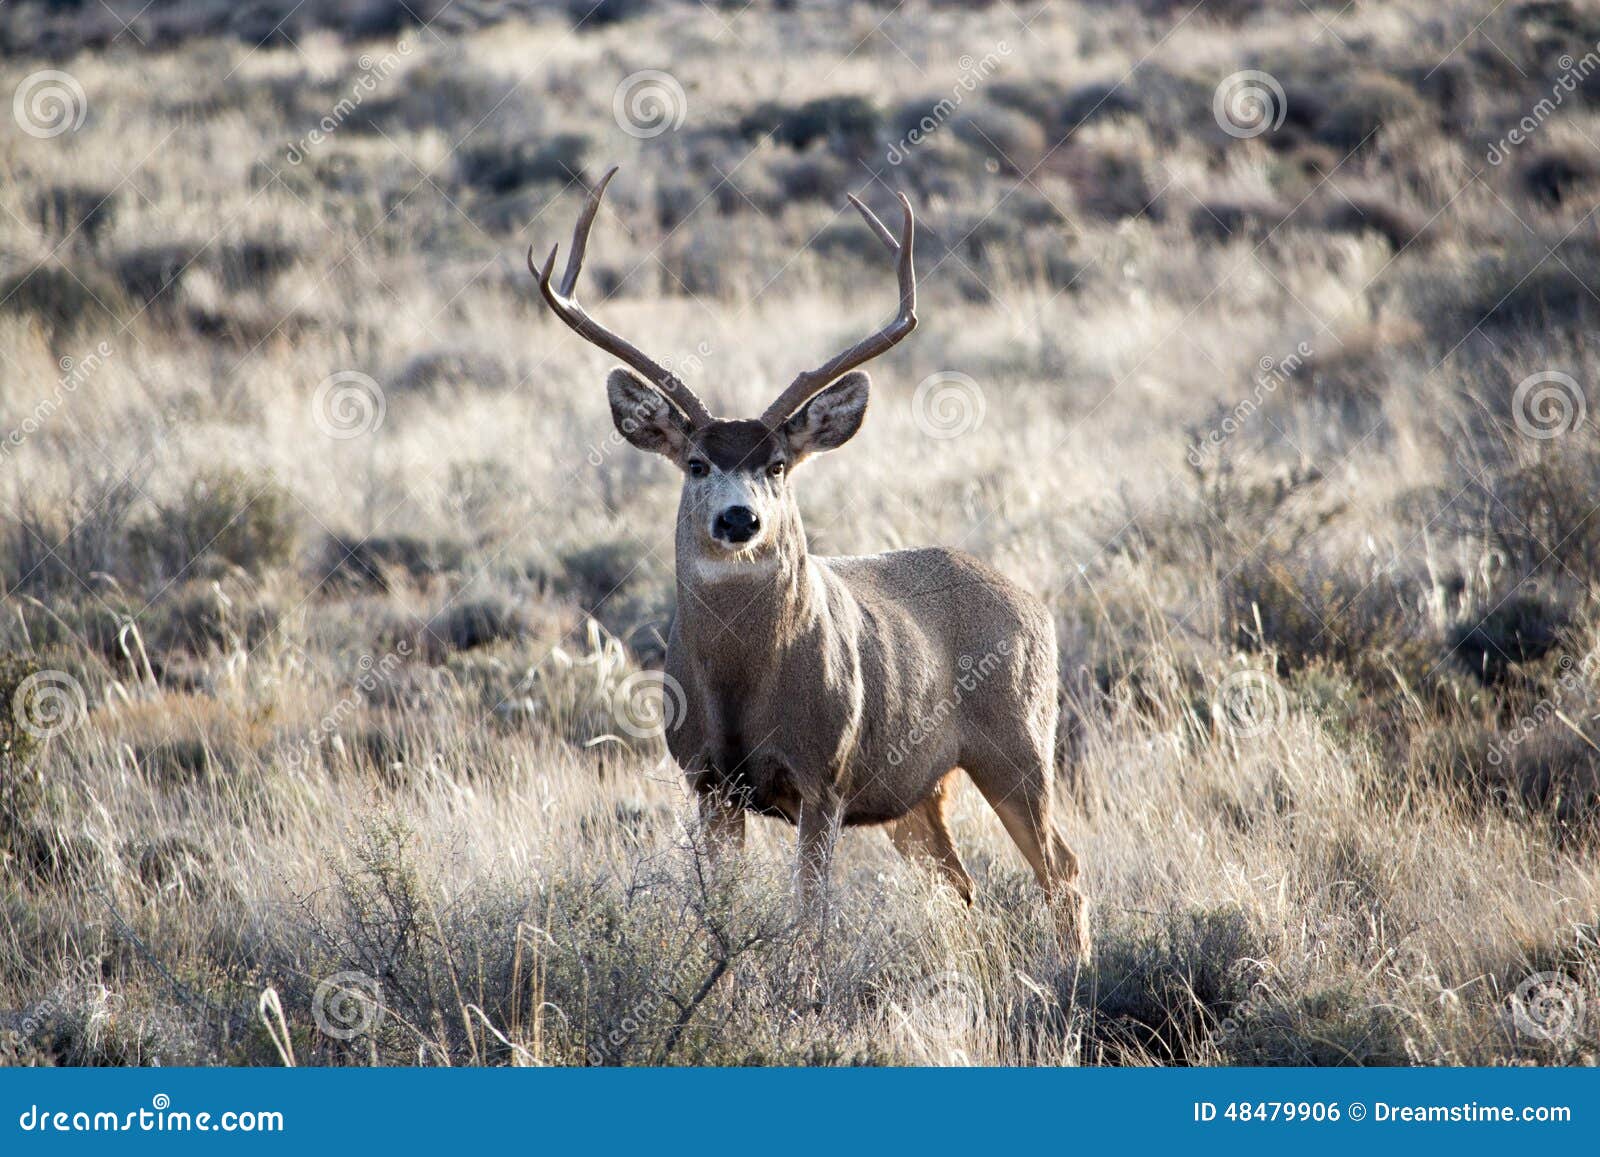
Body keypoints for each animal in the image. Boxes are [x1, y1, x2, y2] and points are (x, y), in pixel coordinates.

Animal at [529, 167, 1090, 958]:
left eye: (778, 464)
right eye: (696, 462)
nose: (740, 518)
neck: (742, 681)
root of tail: (1035, 604)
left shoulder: (823, 775)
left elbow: (809, 920)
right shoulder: (707, 780)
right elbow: (722, 914)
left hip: (1019, 742)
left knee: (1063, 870)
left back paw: (1075, 973)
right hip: (915, 791)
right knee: (961, 884)